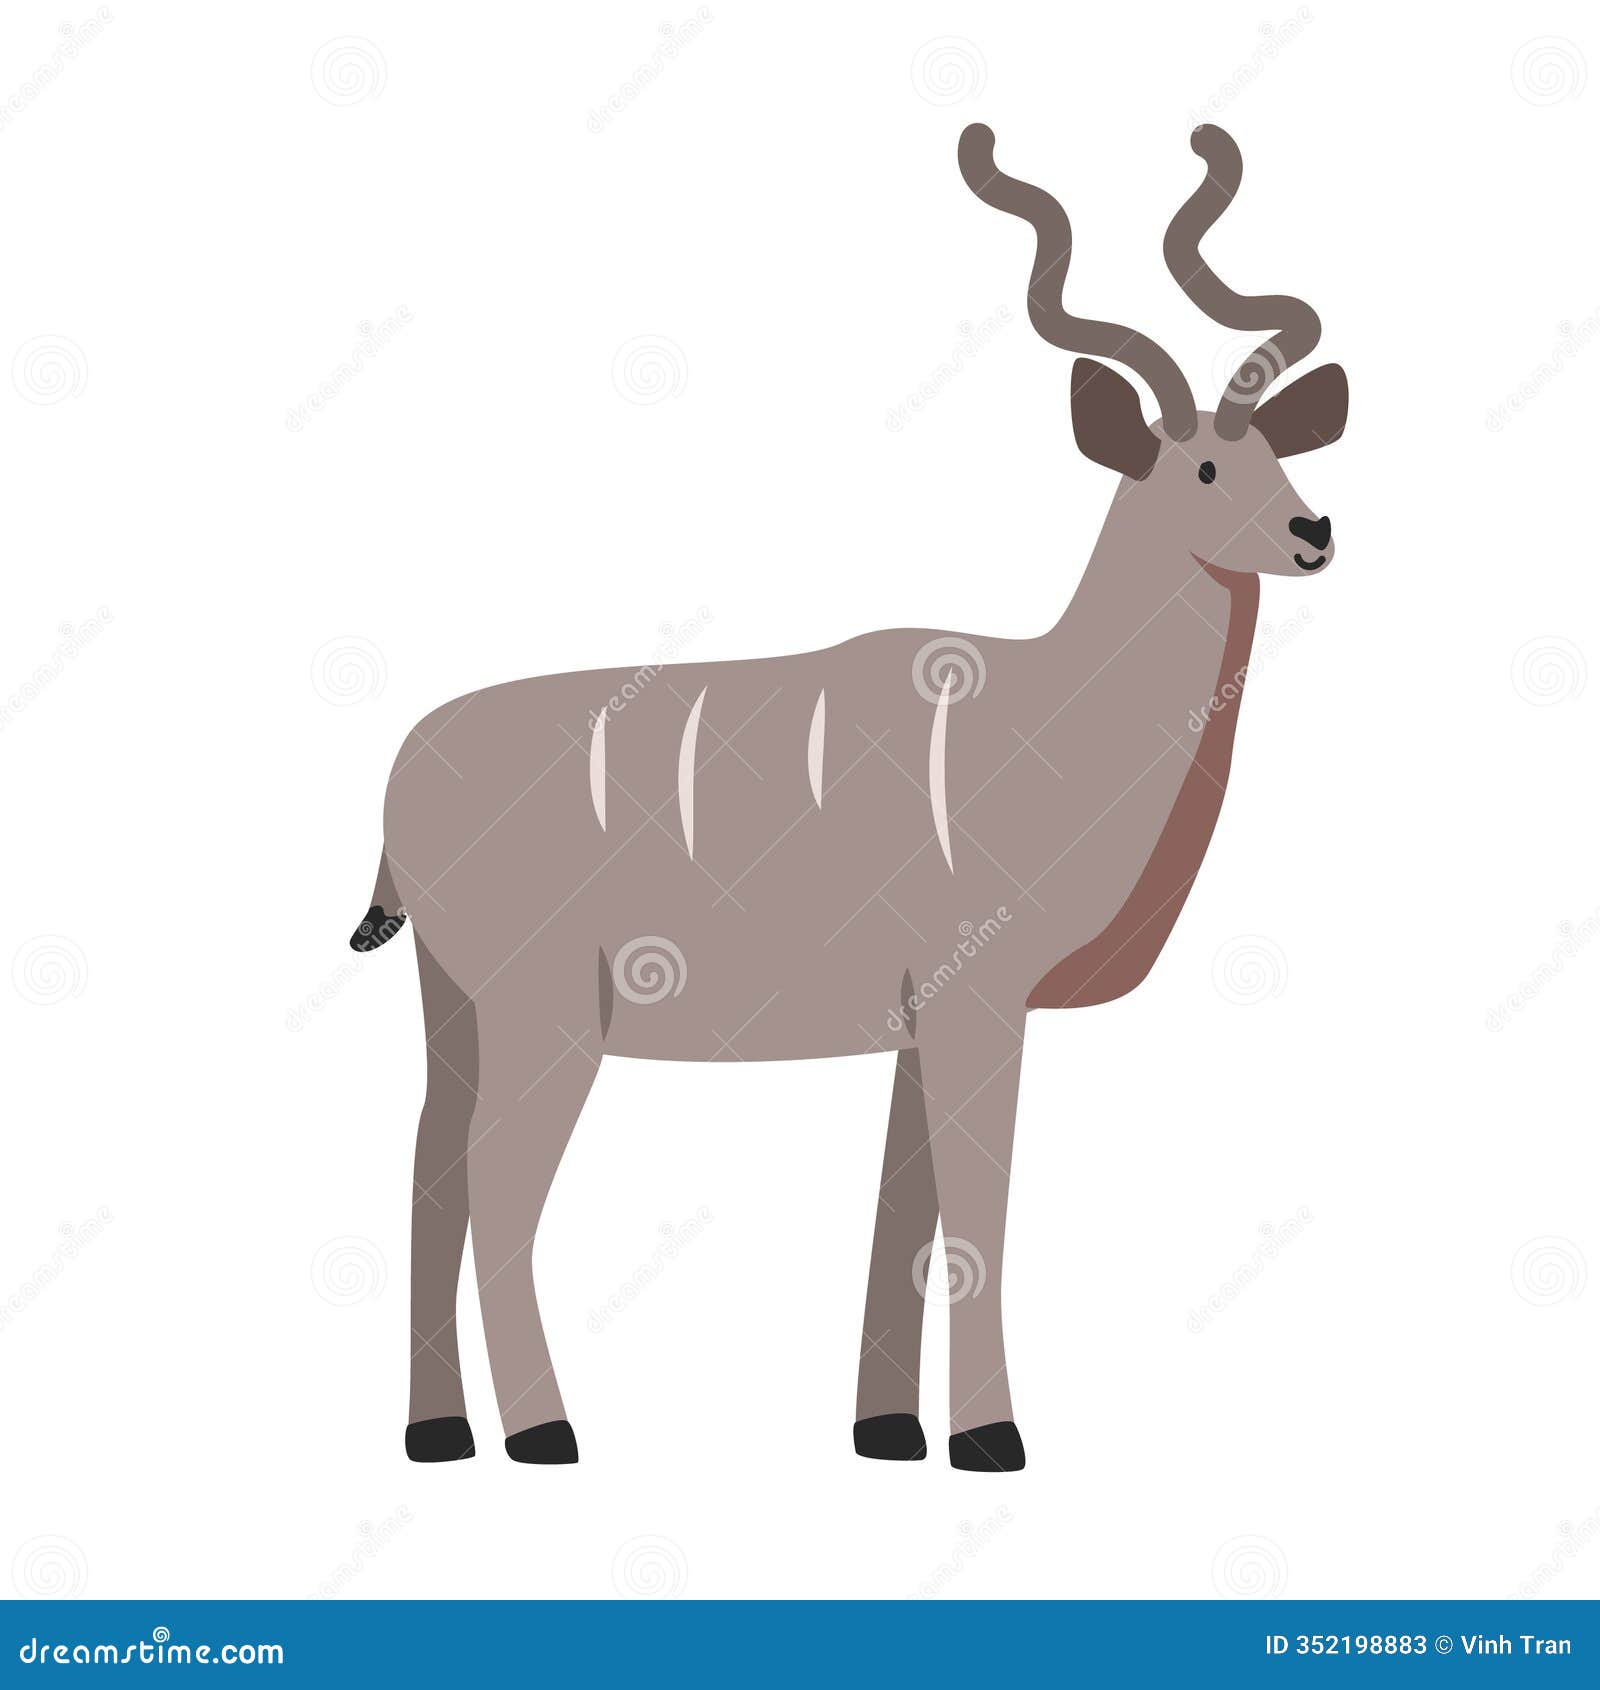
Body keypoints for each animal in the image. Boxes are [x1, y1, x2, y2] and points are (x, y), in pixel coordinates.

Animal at [352, 123, 1347, 1471]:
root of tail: (404, 766)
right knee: (497, 1189)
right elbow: (974, 1205)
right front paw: (991, 1437)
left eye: (1281, 448)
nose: (1314, 529)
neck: (1049, 711)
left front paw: (886, 1431)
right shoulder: (979, 1001)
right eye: (1197, 464)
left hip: (455, 1006)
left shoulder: (919, 1019)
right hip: (544, 1012)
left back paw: (438, 1433)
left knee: (428, 1171)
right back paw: (545, 1433)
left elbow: (902, 1205)